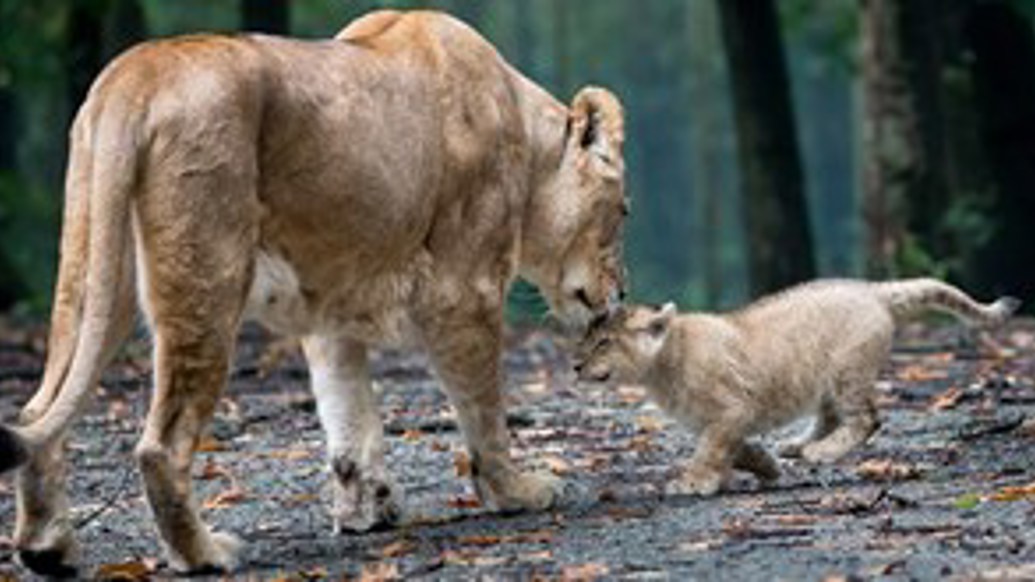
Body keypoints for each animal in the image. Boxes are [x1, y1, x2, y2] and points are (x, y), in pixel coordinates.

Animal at [0, 10, 628, 575]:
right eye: (622, 211)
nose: (622, 293)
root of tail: (134, 76)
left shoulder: (331, 303)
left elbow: (348, 413)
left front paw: (366, 511)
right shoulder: (464, 291)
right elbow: (484, 408)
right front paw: (515, 492)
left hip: (94, 273)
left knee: (39, 408)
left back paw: (47, 548)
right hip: (208, 276)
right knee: (161, 445)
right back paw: (205, 555)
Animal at [574, 279, 1018, 496]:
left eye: (603, 343)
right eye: (586, 338)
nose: (575, 364)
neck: (663, 364)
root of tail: (870, 289)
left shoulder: (732, 410)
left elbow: (711, 451)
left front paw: (694, 482)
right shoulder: (723, 419)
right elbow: (736, 449)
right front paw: (768, 466)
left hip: (848, 370)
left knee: (867, 419)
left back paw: (819, 452)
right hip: (826, 380)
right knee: (832, 416)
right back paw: (797, 445)